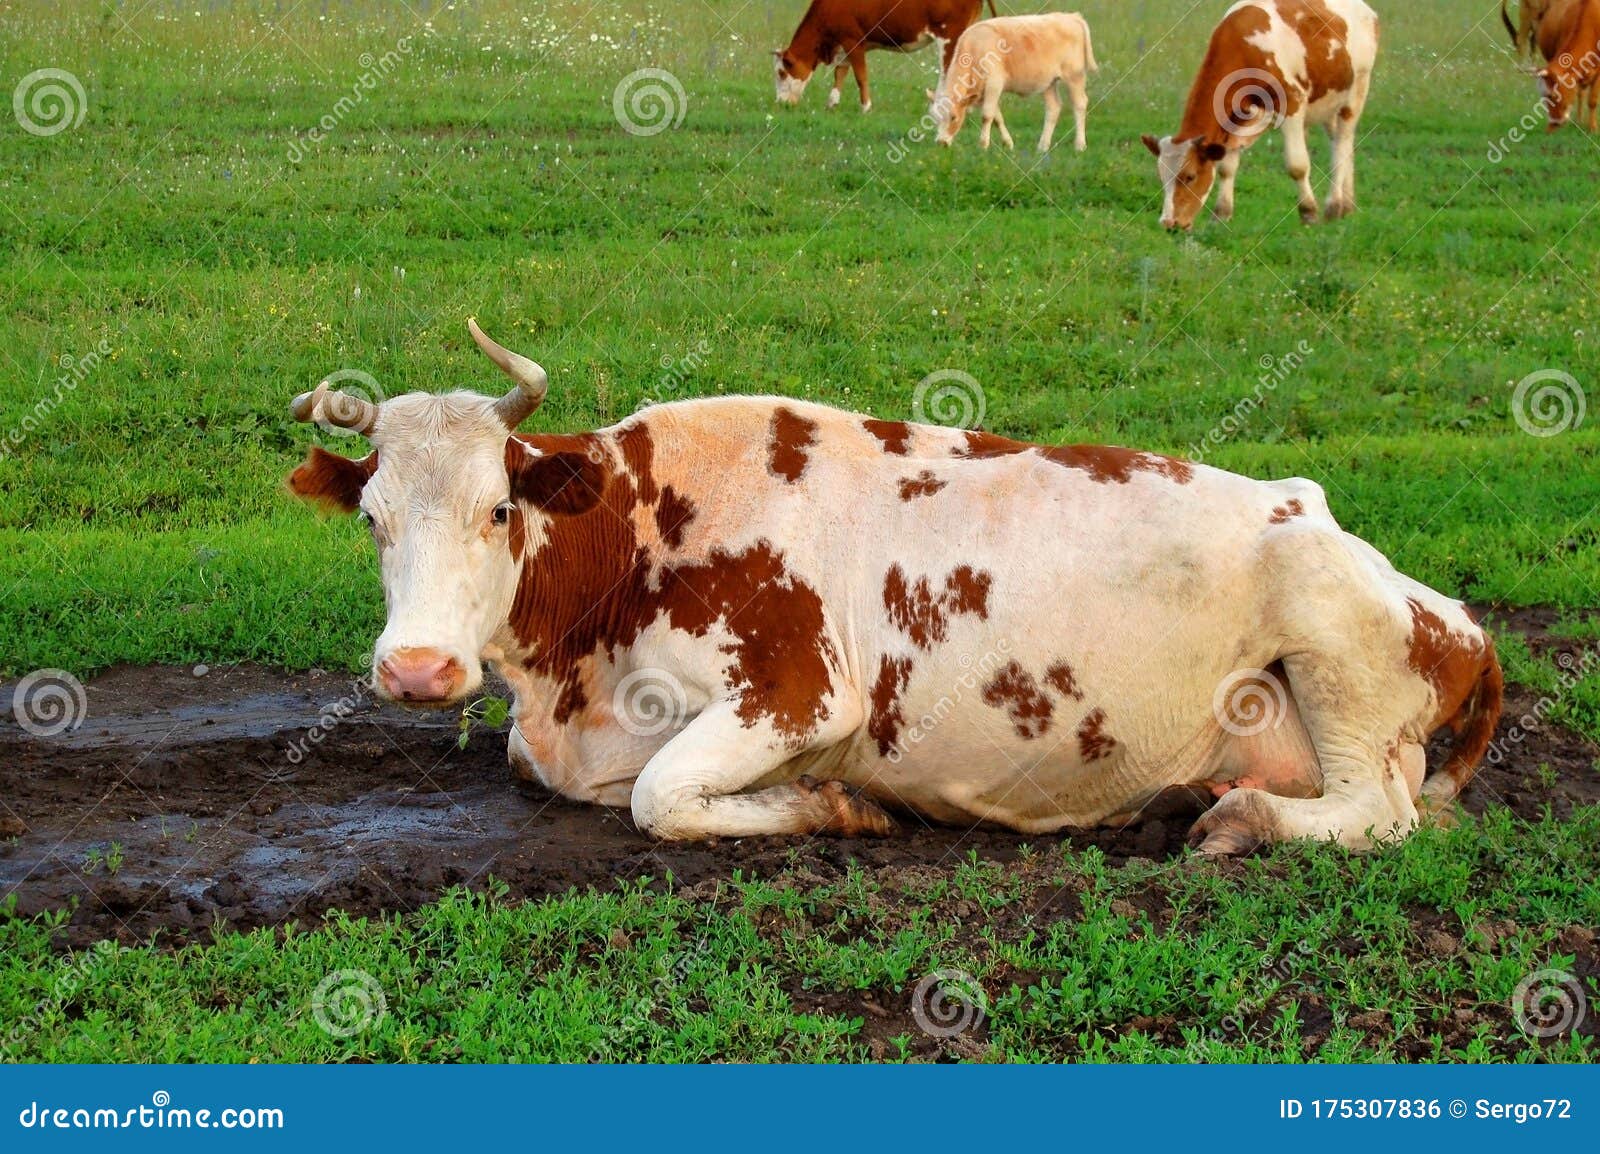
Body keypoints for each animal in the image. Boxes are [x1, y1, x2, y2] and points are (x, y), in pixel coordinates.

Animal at [288, 321, 1502, 854]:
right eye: (370, 519)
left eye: (498, 508)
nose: (415, 668)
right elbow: (565, 773)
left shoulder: (801, 690)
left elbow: (660, 797)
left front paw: (837, 804)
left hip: (1335, 652)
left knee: (1377, 812)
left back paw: (1239, 815)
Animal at [774, 0, 996, 113]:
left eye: (781, 73)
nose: (780, 103)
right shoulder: (844, 45)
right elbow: (840, 73)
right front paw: (832, 103)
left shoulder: (854, 41)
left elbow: (860, 76)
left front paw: (866, 107)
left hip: (950, 35)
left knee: (949, 72)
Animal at [930, 12, 1098, 151]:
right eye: (935, 119)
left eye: (953, 117)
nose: (941, 143)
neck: (975, 49)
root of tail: (1071, 16)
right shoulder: (983, 92)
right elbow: (997, 117)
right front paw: (1008, 143)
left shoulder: (994, 84)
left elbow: (987, 115)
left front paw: (983, 145)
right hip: (1048, 82)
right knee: (1054, 107)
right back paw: (1042, 146)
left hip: (1075, 76)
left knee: (1080, 104)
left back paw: (1079, 145)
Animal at [1141, 0, 1379, 231]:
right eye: (1161, 177)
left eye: (1190, 176)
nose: (1169, 223)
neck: (1244, 49)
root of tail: (1368, 11)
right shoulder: (1235, 120)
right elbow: (1226, 168)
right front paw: (1221, 215)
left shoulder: (1293, 104)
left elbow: (1297, 166)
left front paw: (1309, 213)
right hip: (1330, 101)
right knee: (1341, 142)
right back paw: (1347, 205)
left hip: (1356, 90)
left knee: (1343, 143)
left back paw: (1334, 206)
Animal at [1531, 0, 1600, 130]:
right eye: (1543, 97)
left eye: (1553, 96)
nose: (1552, 125)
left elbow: (1592, 101)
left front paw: (1592, 128)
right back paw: (1578, 121)